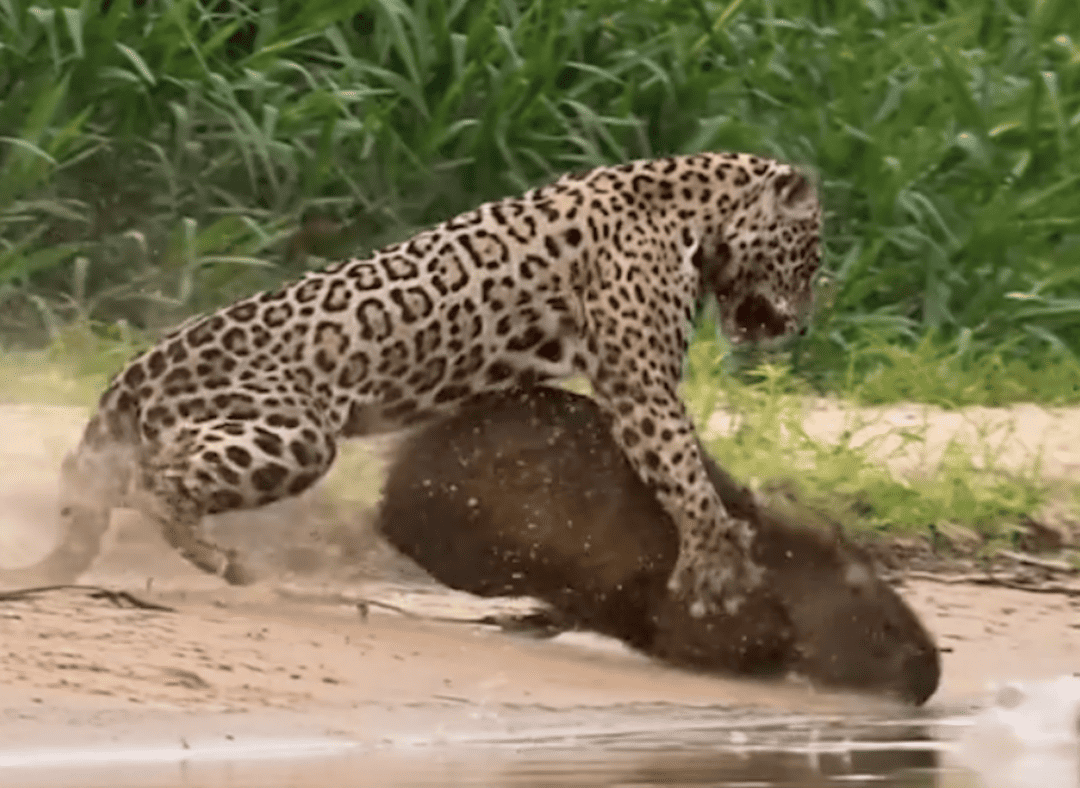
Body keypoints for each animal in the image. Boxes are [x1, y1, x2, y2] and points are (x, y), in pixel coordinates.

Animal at [1, 151, 821, 616]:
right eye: (810, 258)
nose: (802, 324)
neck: (700, 214)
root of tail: (133, 372)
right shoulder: (641, 381)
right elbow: (682, 468)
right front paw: (718, 561)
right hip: (297, 433)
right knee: (154, 483)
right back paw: (228, 562)